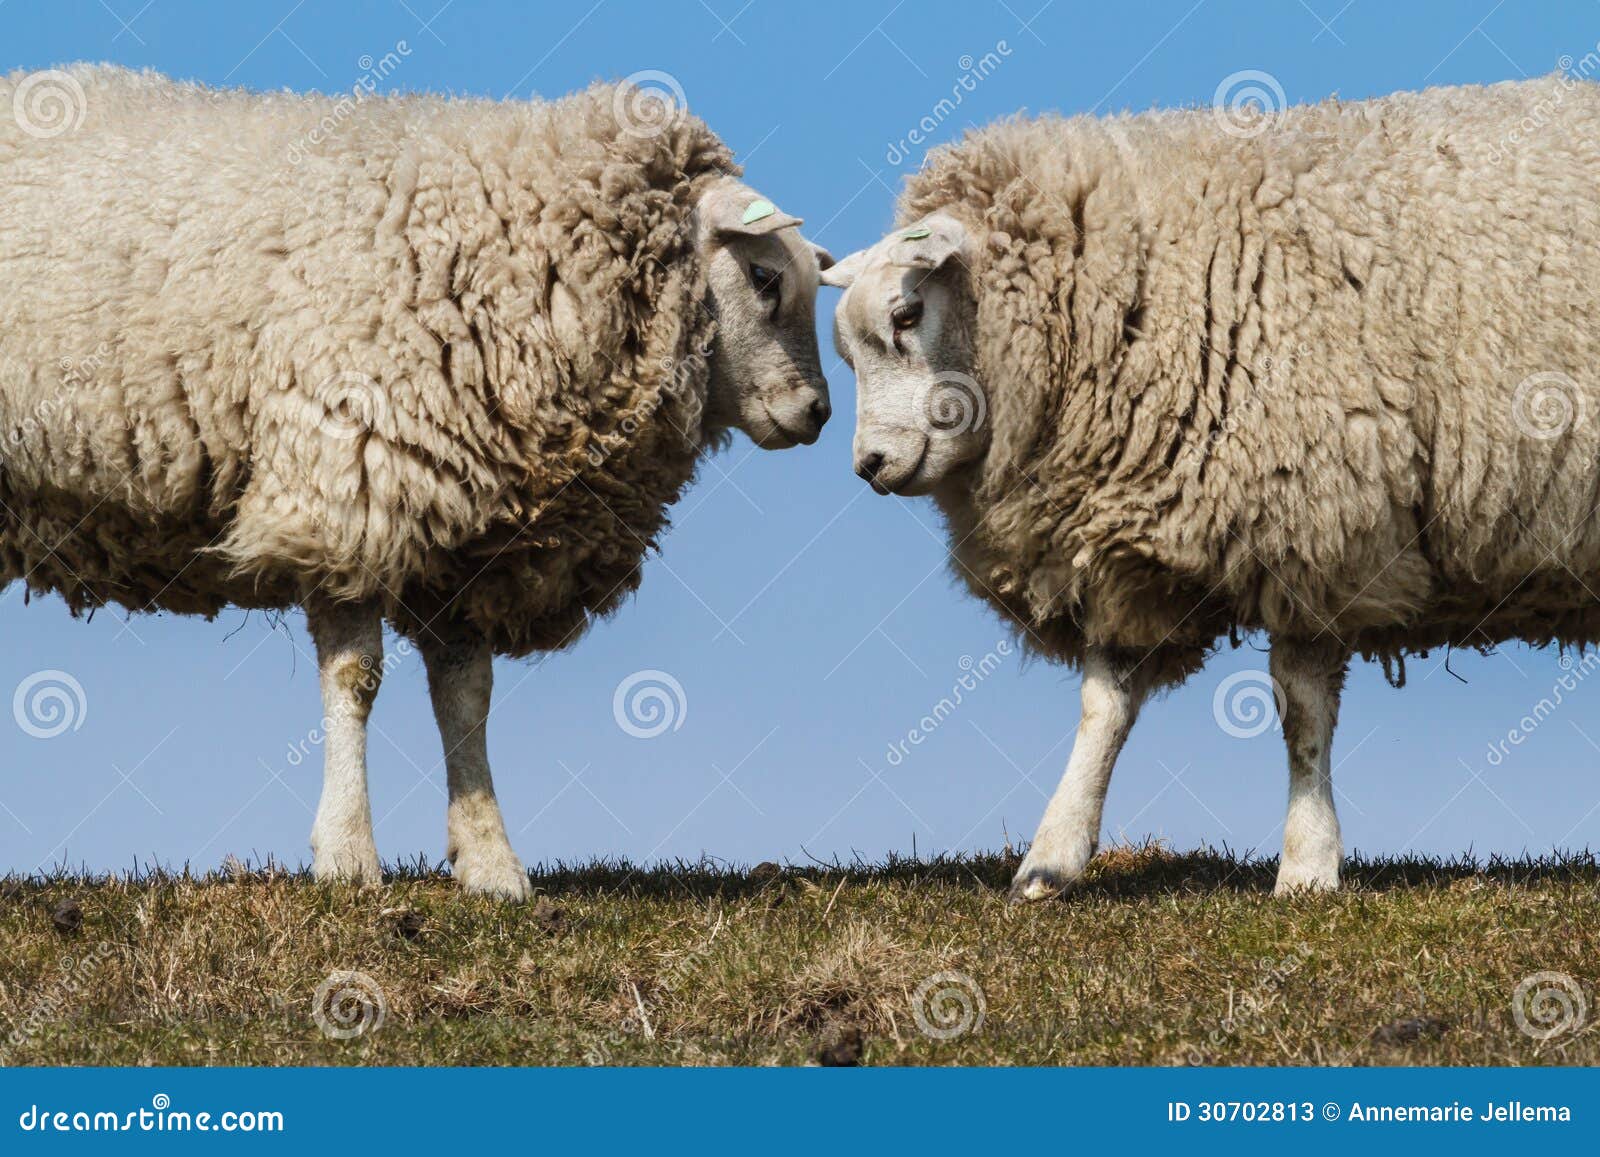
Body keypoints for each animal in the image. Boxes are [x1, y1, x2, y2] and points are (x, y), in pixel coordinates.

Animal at [0, 65, 834, 898]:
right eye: (764, 277)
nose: (818, 411)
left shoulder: (469, 537)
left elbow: (467, 697)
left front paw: (490, 860)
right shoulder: (346, 486)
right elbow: (356, 678)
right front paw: (347, 853)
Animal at [823, 74, 1600, 900]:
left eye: (907, 313)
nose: (870, 464)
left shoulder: (1312, 513)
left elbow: (1300, 710)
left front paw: (1307, 863)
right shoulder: (1126, 542)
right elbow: (1104, 704)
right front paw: (1051, 856)